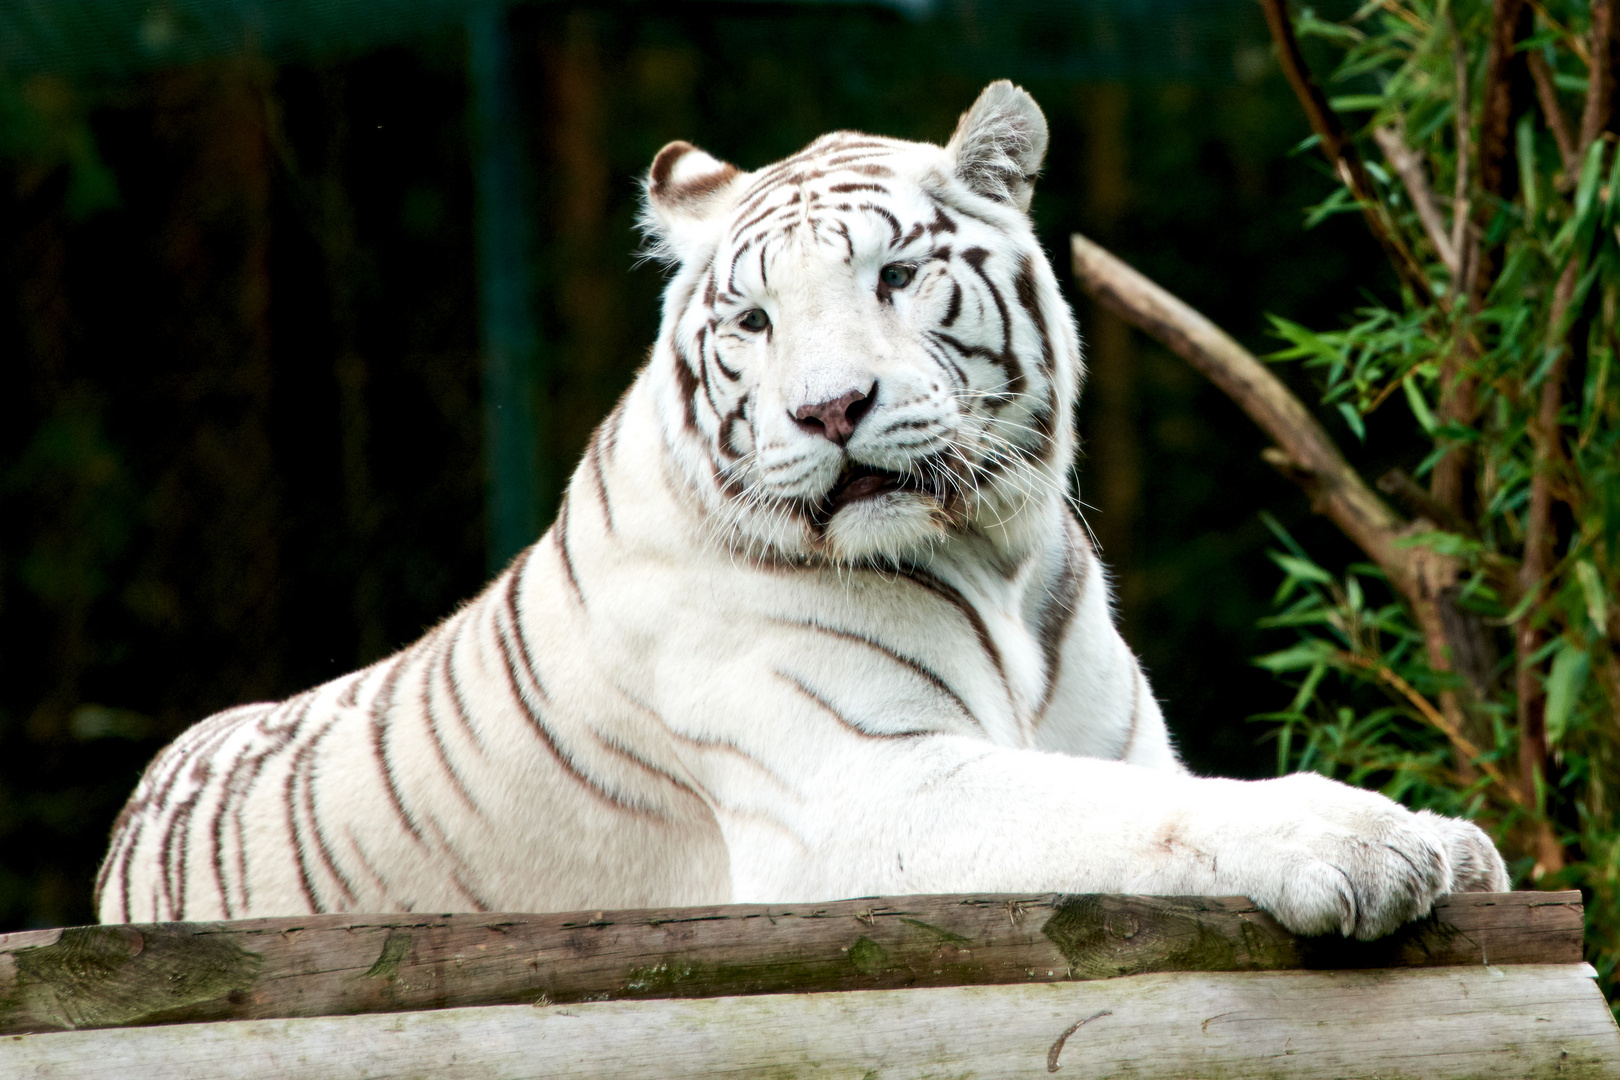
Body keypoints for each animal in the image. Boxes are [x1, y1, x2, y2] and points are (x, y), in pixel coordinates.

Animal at [97, 81, 1507, 937]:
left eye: (897, 276)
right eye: (755, 320)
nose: (831, 410)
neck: (996, 561)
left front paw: (1452, 839)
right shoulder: (865, 792)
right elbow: (1141, 816)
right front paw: (1363, 840)